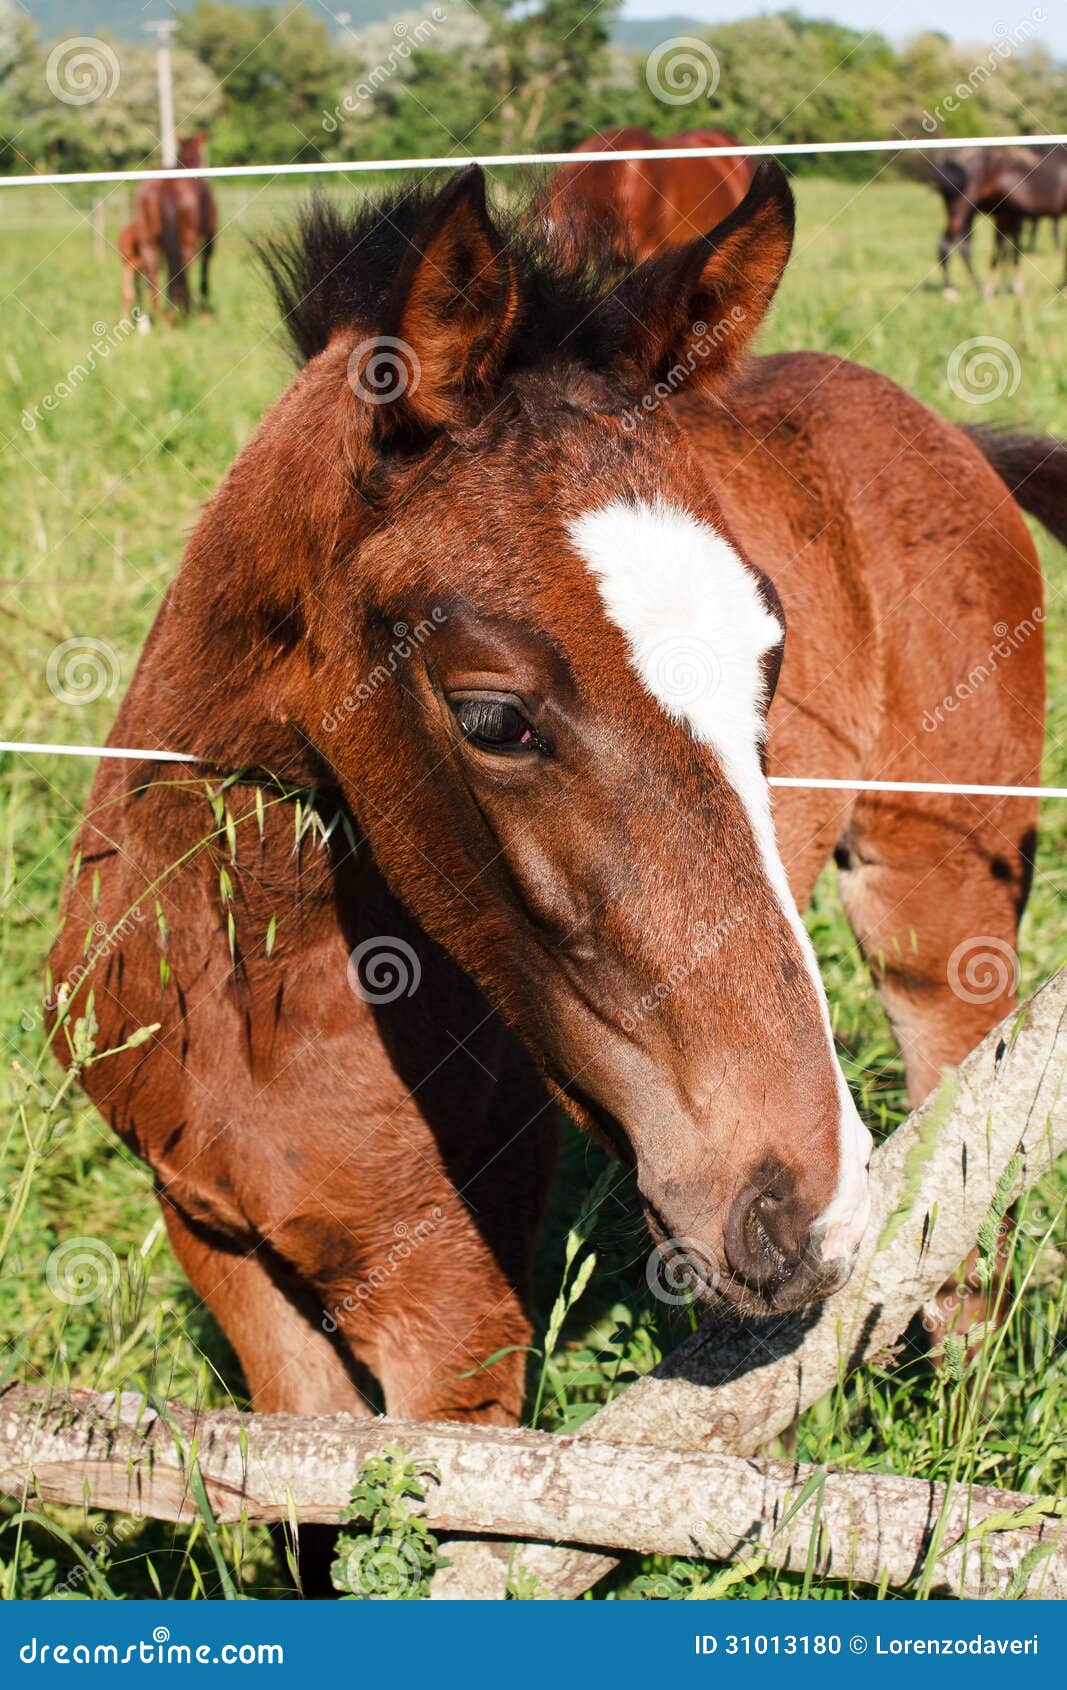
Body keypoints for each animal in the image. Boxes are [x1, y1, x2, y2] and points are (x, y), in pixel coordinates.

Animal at [50, 165, 1056, 1580]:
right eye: (491, 716)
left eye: (769, 661)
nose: (796, 1210)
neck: (243, 989)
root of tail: (941, 423)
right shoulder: (221, 1249)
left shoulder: (453, 1324)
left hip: (933, 892)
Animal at [131, 131, 217, 324]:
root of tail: (167, 184)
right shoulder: (209, 236)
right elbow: (205, 268)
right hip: (187, 241)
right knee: (184, 265)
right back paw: (180, 312)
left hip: (148, 242)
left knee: (153, 272)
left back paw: (161, 316)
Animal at [932, 146, 1067, 296]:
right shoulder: (1009, 217)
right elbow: (1004, 251)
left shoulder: (1012, 217)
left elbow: (1009, 251)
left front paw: (1008, 287)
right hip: (962, 210)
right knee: (946, 245)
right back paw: (951, 289)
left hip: (967, 213)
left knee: (962, 246)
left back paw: (975, 284)